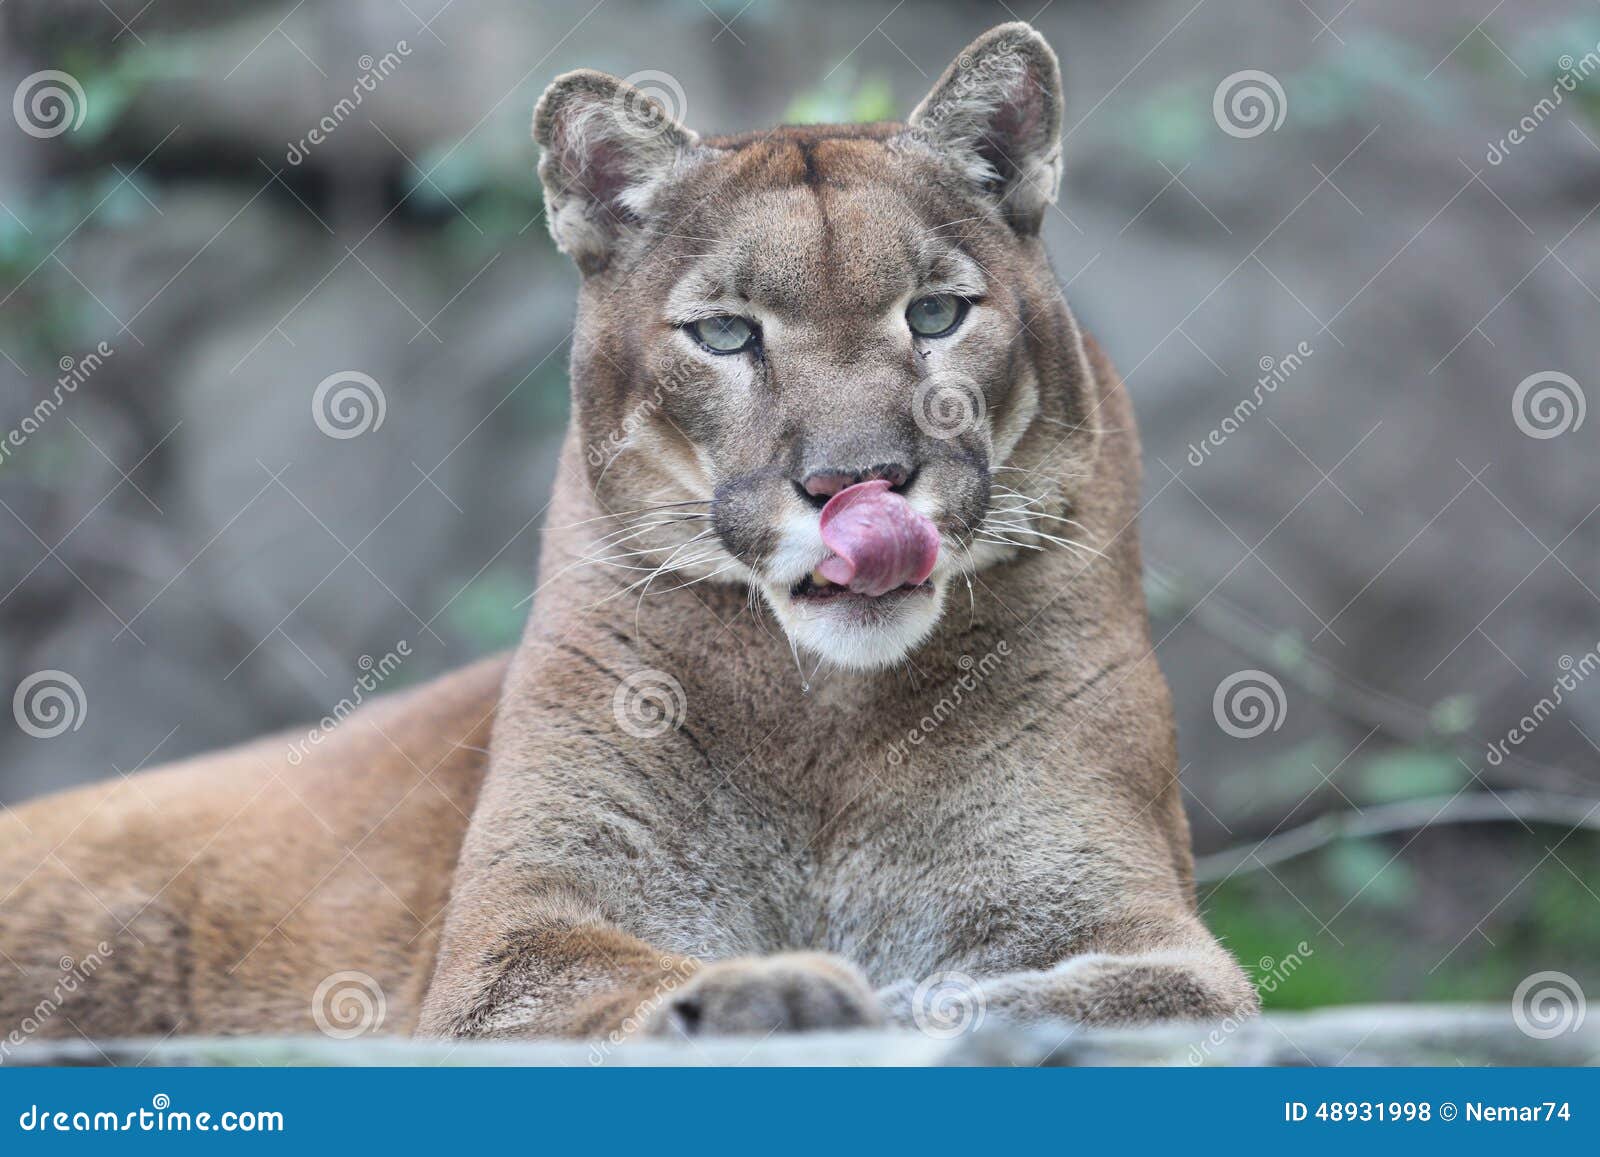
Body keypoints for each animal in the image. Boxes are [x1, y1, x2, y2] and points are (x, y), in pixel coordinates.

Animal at [0, 23, 1255, 1050]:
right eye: (725, 334)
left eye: (937, 313)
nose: (853, 481)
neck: (826, 722)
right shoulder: (516, 940)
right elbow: (605, 986)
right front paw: (766, 990)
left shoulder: (1131, 917)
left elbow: (1142, 993)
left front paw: (912, 997)